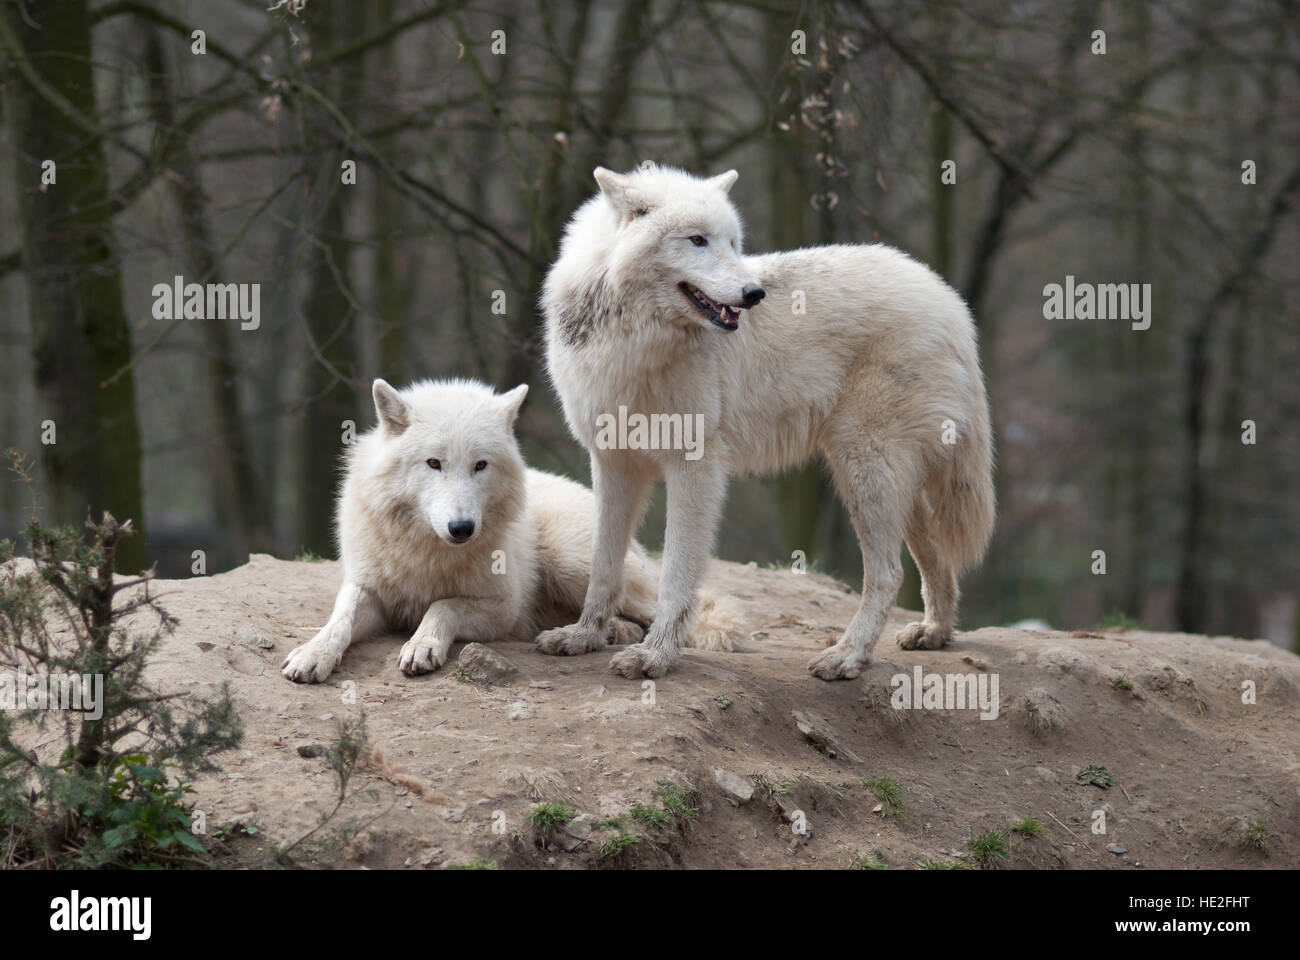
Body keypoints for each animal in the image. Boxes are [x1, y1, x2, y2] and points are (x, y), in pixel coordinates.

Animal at [282, 377, 735, 684]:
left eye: (480, 465)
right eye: (434, 463)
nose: (462, 528)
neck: (428, 553)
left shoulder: (504, 607)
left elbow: (442, 605)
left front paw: (422, 645)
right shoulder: (367, 588)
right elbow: (339, 620)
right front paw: (312, 654)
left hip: (569, 563)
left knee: (664, 612)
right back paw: (605, 633)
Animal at [537, 163, 995, 681]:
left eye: (735, 243)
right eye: (697, 240)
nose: (754, 293)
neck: (634, 341)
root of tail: (949, 301)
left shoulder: (694, 466)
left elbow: (676, 573)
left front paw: (656, 655)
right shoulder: (613, 464)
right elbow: (603, 566)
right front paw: (584, 636)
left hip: (863, 470)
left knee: (888, 573)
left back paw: (848, 655)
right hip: (894, 482)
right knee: (932, 561)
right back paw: (934, 632)